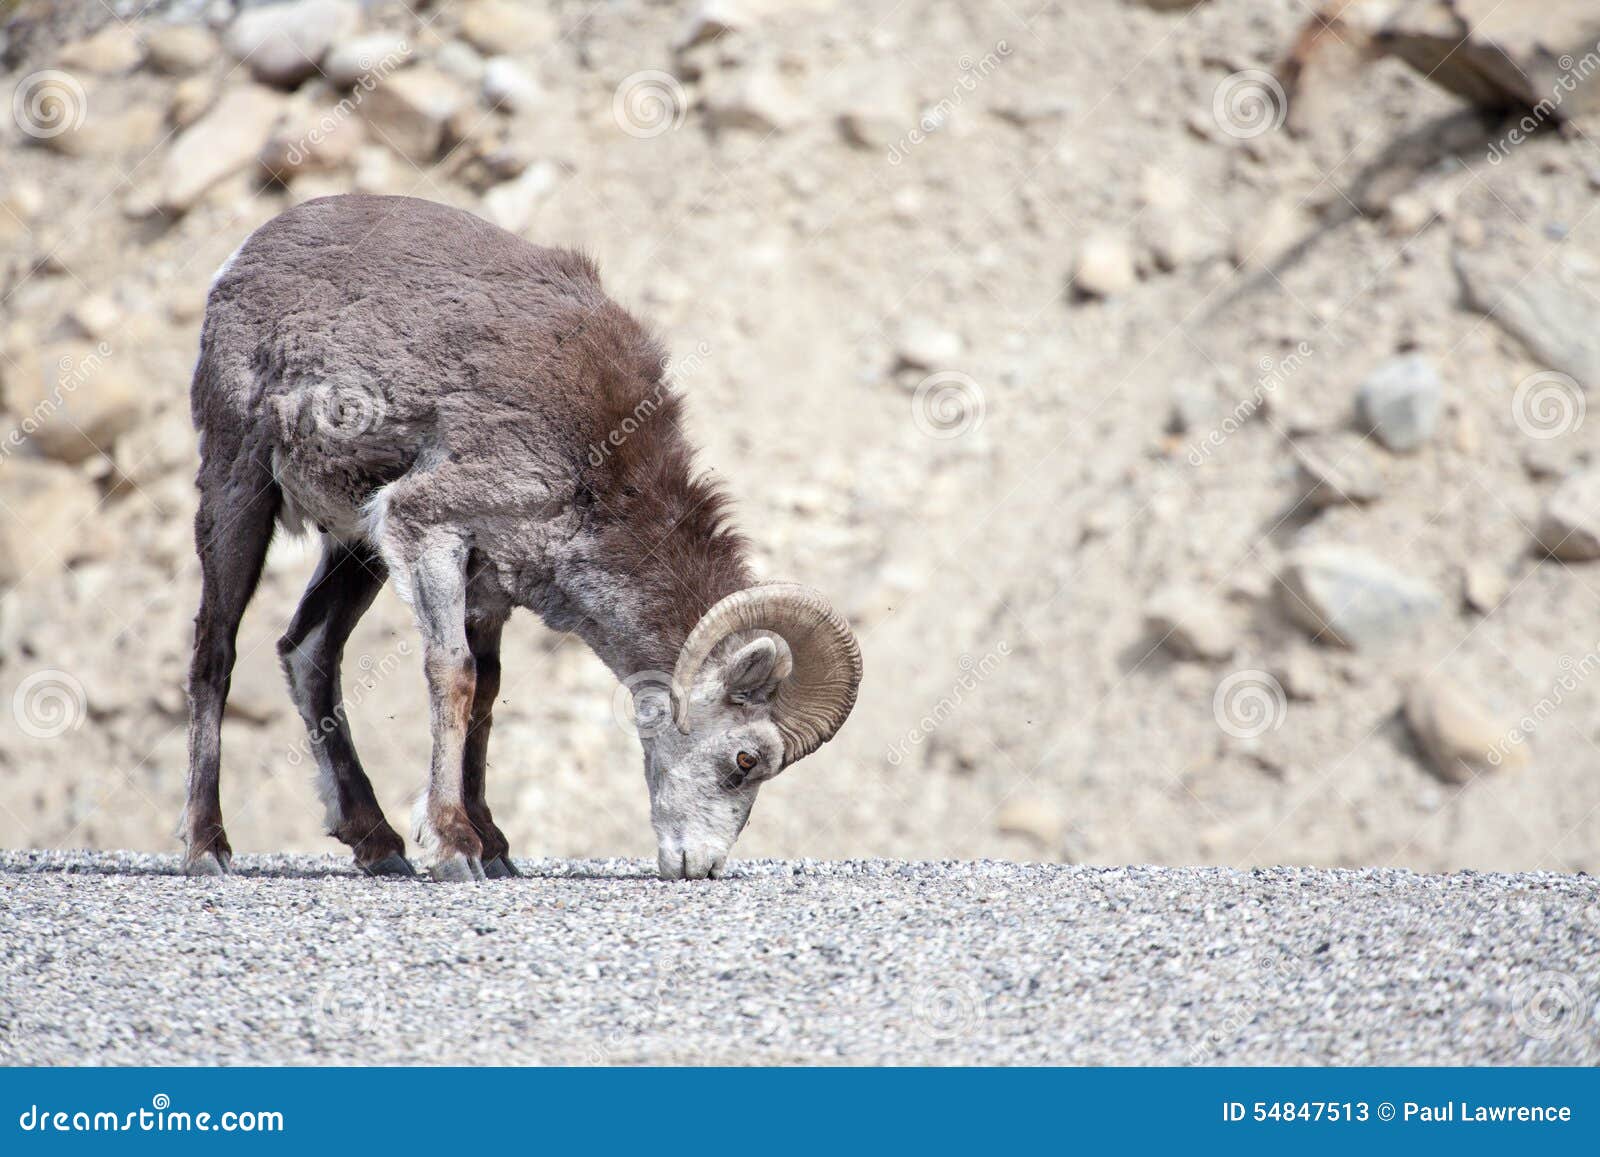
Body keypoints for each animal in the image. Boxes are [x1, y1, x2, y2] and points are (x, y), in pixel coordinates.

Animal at [182, 193, 862, 881]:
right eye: (746, 760)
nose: (701, 866)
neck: (589, 462)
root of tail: (244, 257)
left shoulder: (488, 586)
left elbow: (486, 695)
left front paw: (495, 849)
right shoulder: (427, 529)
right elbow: (453, 674)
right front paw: (455, 846)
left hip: (356, 549)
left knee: (309, 653)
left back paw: (378, 843)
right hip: (239, 487)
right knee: (217, 651)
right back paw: (207, 846)